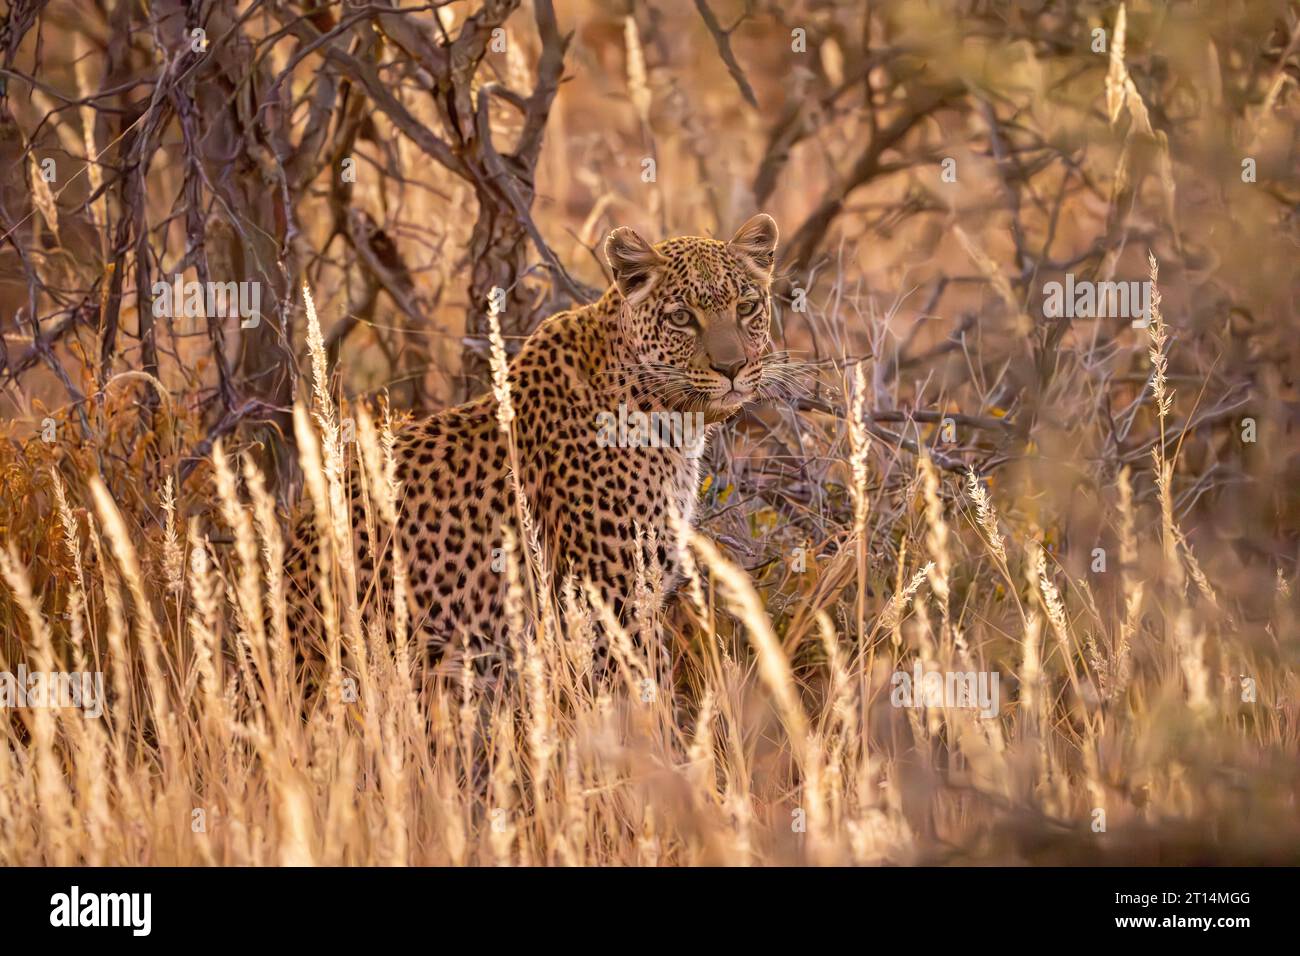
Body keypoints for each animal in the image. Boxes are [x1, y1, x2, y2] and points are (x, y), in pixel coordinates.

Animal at [283, 213, 784, 680]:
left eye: (746, 307)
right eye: (681, 317)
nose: (732, 367)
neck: (674, 419)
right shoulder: (613, 598)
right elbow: (647, 694)